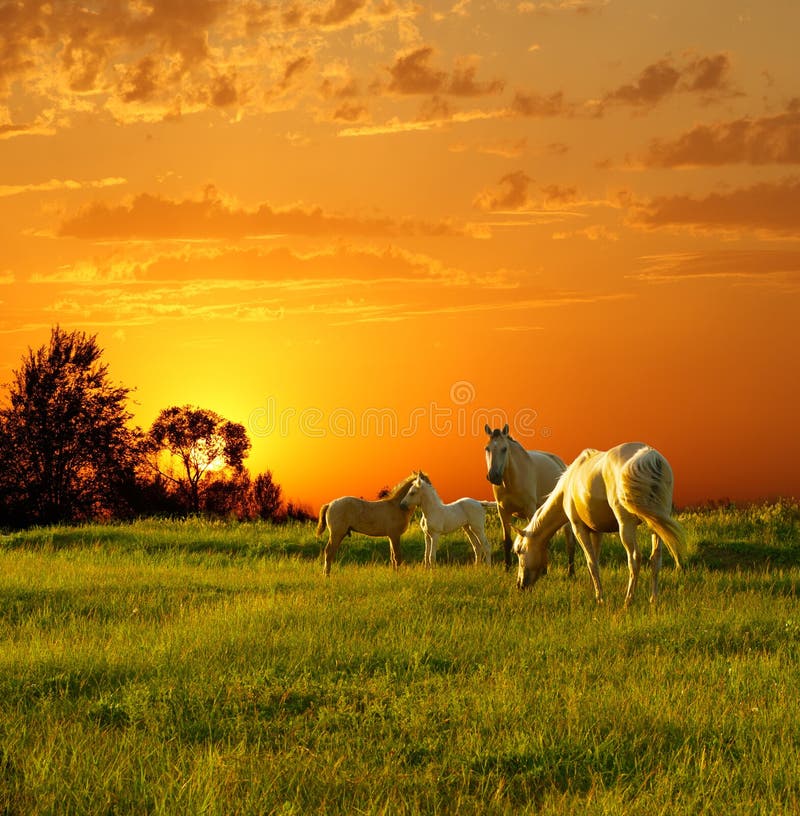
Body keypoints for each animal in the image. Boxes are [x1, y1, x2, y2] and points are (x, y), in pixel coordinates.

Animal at [484, 424, 576, 573]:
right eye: (487, 448)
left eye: (504, 449)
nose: (493, 476)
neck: (512, 481)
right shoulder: (503, 511)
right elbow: (507, 541)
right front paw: (507, 569)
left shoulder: (530, 510)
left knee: (570, 542)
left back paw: (571, 573)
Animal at [512, 442, 685, 606]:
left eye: (519, 551)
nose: (520, 585)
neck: (568, 485)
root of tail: (650, 456)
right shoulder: (597, 532)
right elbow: (595, 560)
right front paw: (595, 590)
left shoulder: (578, 528)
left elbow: (591, 562)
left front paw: (600, 598)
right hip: (656, 524)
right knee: (656, 559)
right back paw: (653, 600)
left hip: (626, 526)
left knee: (635, 559)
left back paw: (628, 601)